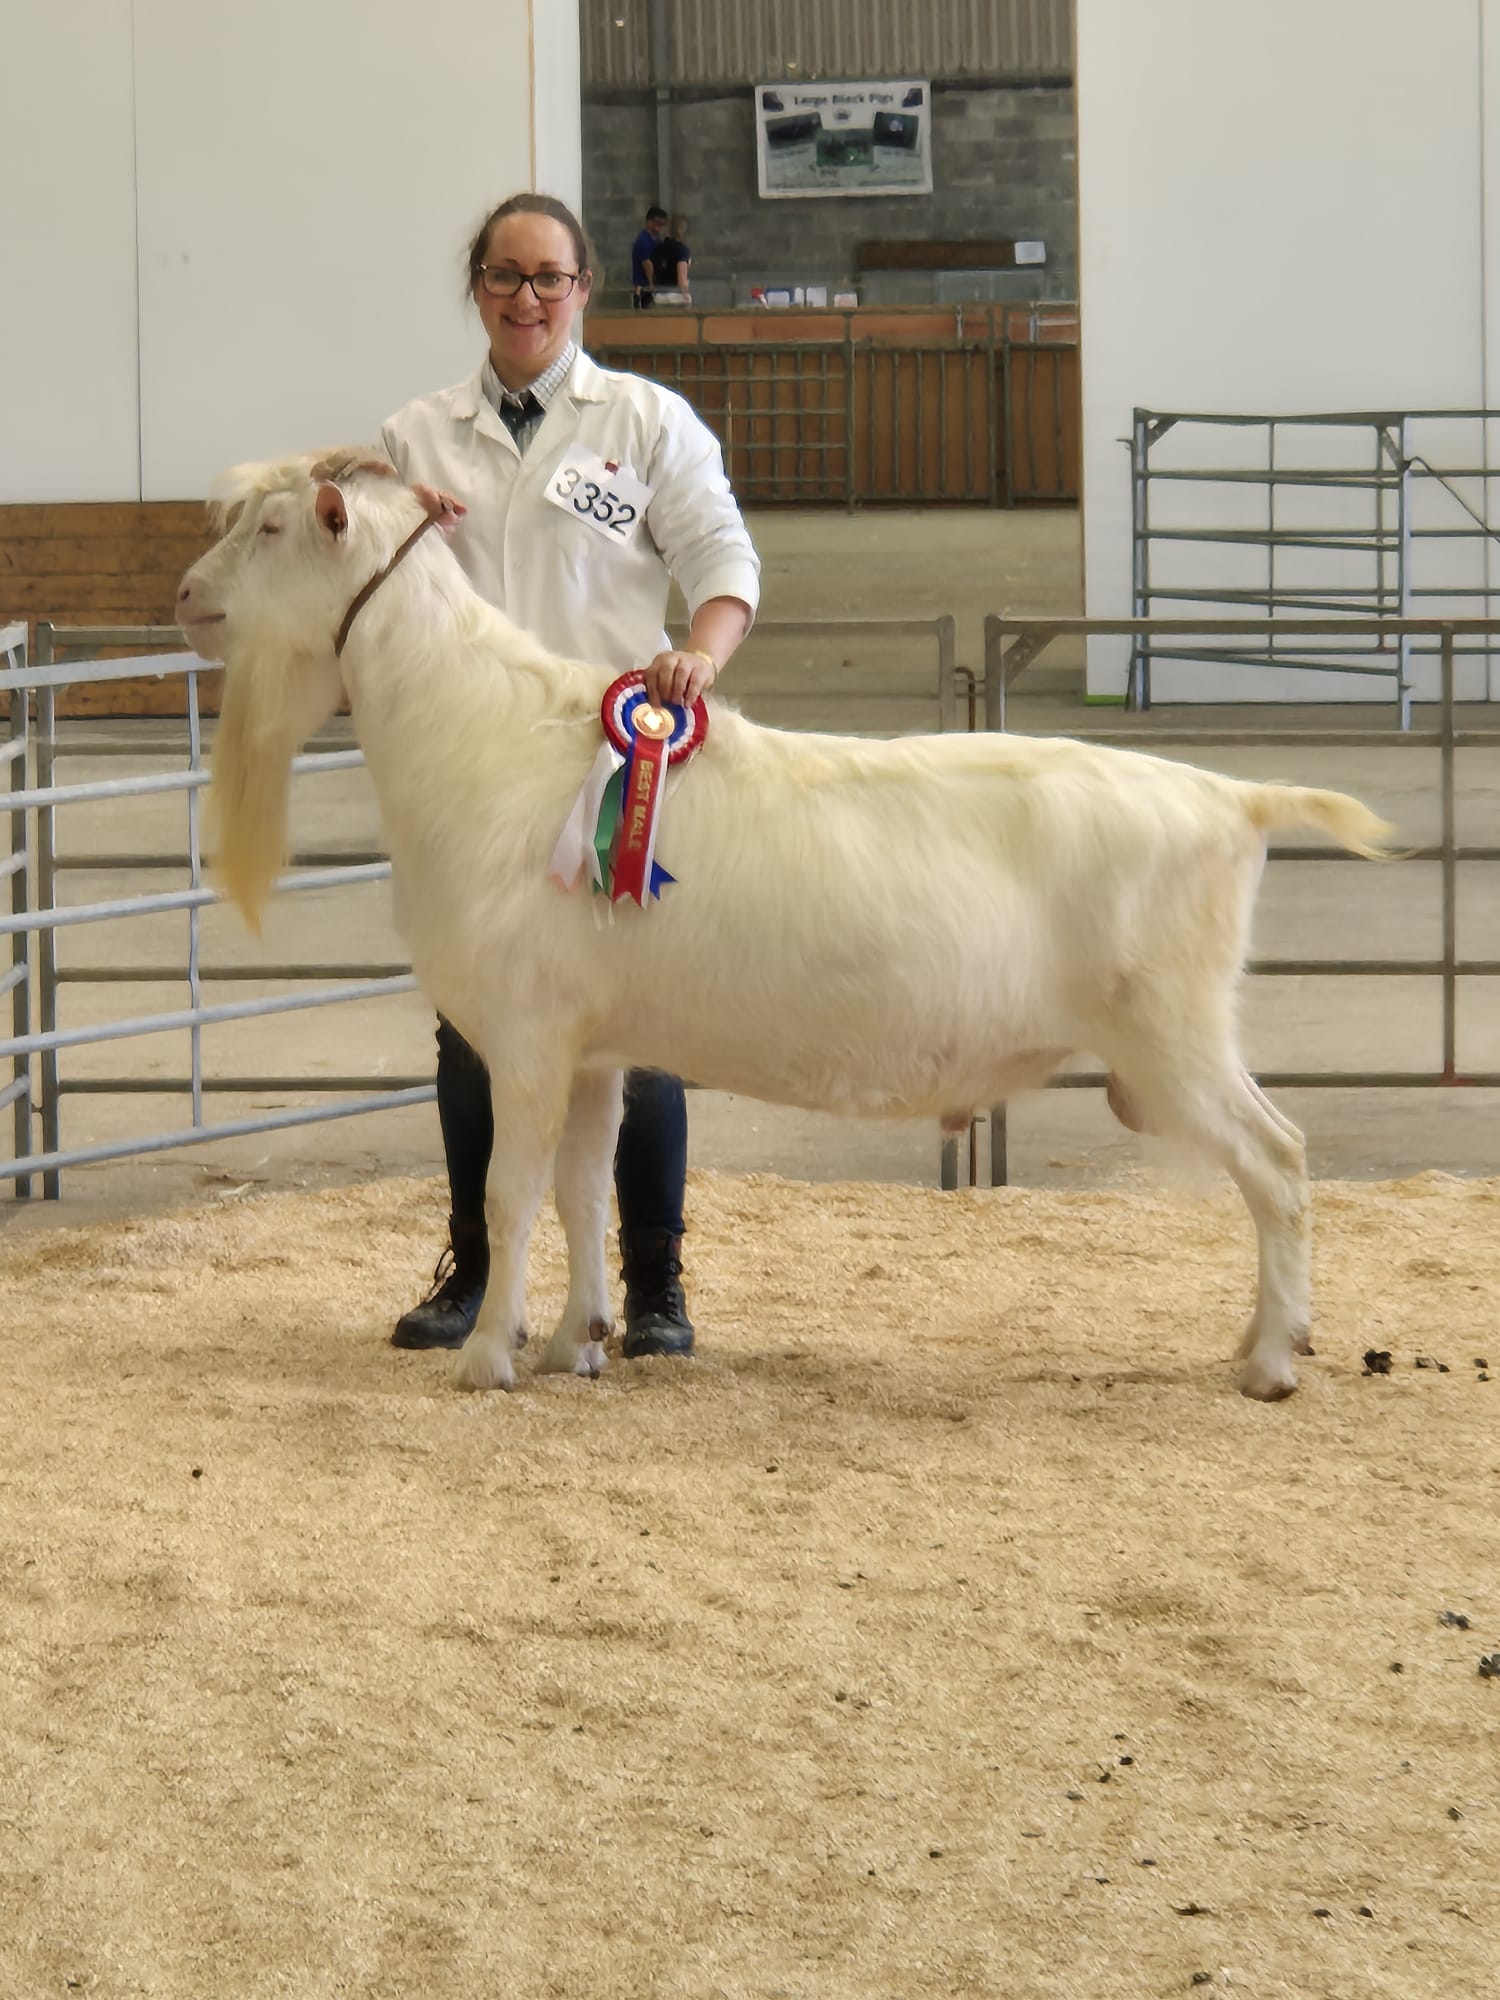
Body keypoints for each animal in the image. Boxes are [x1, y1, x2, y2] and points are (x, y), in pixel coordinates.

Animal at [178, 450, 1392, 1400]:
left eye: (273, 528)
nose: (185, 589)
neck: (474, 727)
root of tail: (1232, 798)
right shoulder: (589, 1046)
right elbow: (580, 1191)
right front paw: (578, 1340)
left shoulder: (524, 1034)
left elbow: (508, 1193)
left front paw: (487, 1356)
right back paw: (1258, 1340)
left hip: (1174, 1032)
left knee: (1278, 1161)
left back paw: (1272, 1359)